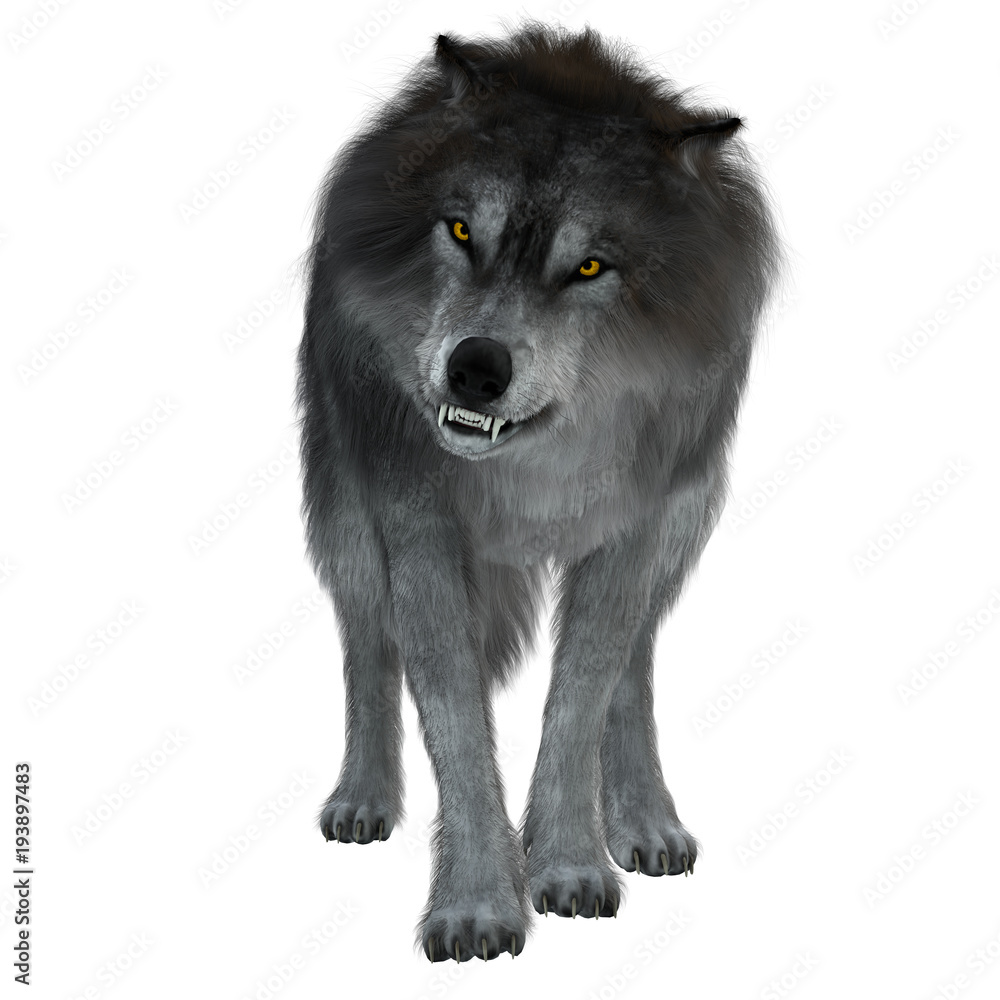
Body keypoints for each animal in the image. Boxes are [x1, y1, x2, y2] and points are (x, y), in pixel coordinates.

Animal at [297, 24, 782, 963]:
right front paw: (479, 905)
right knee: (366, 649)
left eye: (588, 266)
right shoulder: (419, 533)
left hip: (681, 527)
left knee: (635, 664)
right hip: (346, 520)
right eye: (460, 230)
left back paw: (646, 821)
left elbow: (581, 702)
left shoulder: (630, 534)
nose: (476, 370)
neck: (532, 468)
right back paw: (364, 799)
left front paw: (569, 865)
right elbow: (455, 724)